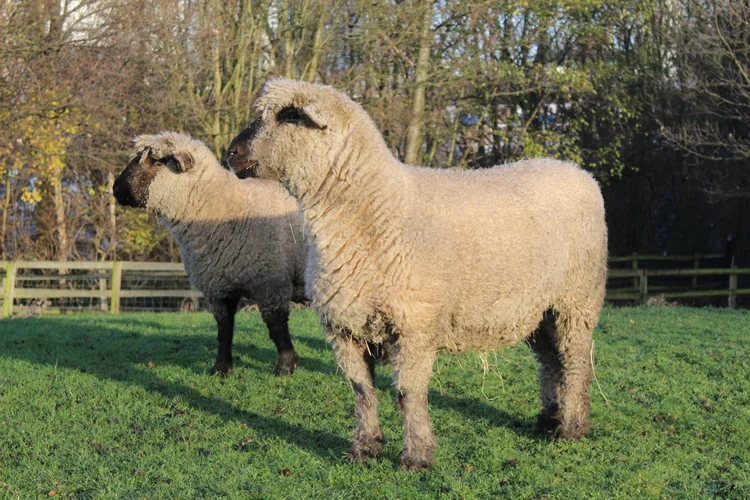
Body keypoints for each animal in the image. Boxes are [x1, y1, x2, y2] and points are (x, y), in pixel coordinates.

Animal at [112, 131, 307, 377]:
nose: (115, 188)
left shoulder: (271, 282)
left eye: (156, 161)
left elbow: (276, 326)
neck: (222, 207)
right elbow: (224, 329)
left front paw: (286, 366)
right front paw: (221, 368)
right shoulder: (219, 287)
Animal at [241, 79, 608, 471]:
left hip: (576, 301)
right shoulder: (345, 327)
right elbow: (362, 391)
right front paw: (365, 448)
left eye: (290, 115)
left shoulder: (414, 324)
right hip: (538, 310)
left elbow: (408, 393)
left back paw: (571, 427)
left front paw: (416, 456)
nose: (232, 153)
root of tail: (579, 172)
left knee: (575, 363)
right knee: (552, 361)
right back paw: (548, 421)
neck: (375, 207)